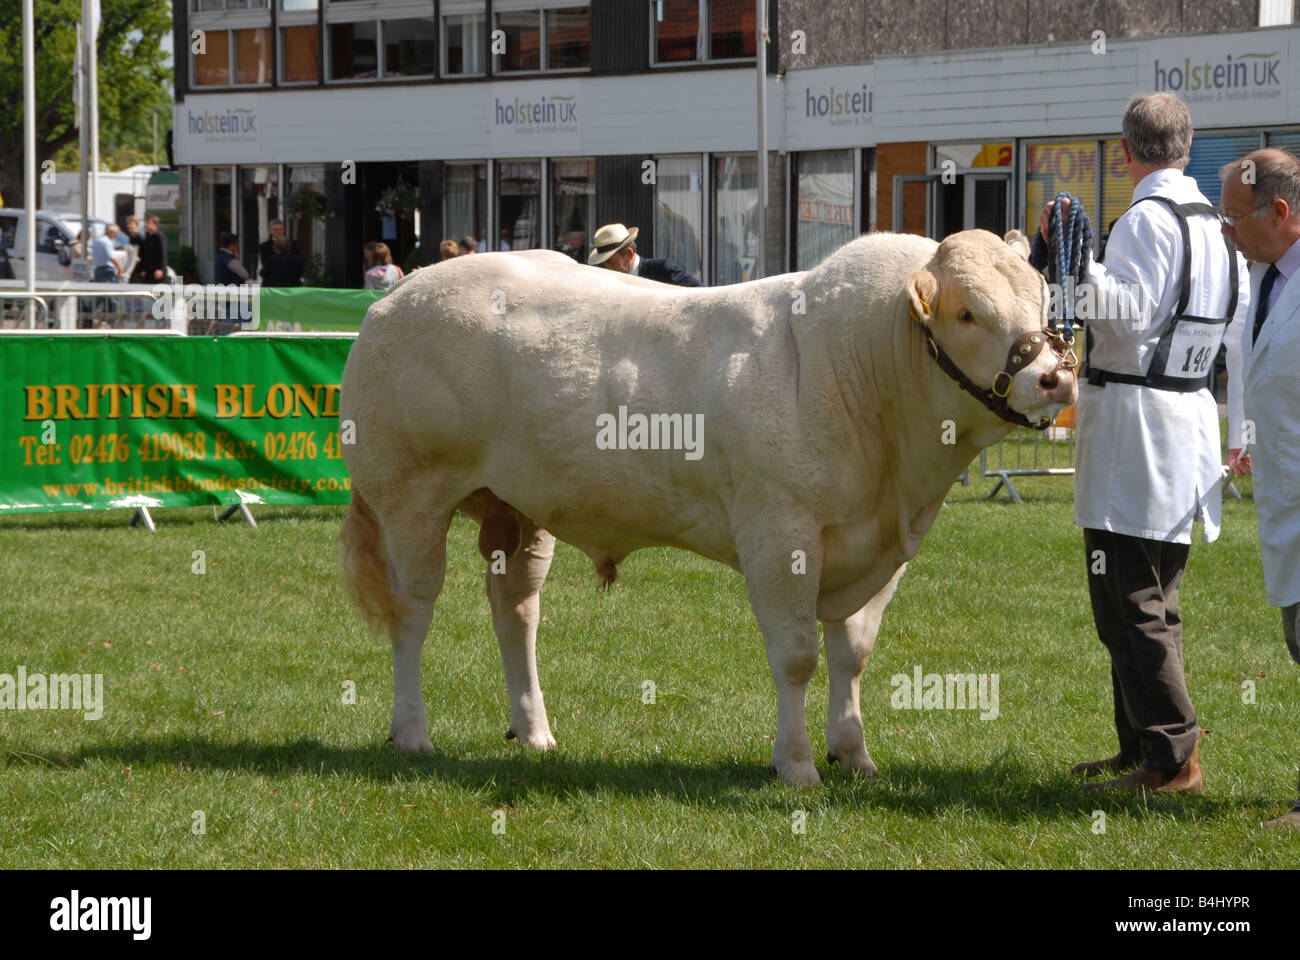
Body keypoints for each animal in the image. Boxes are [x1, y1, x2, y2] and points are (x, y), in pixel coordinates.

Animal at [338, 229, 1077, 786]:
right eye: (967, 313)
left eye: (1041, 299)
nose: (1056, 377)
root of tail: (402, 292)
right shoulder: (779, 533)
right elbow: (798, 656)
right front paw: (797, 765)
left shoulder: (880, 549)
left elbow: (854, 655)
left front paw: (854, 753)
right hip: (409, 498)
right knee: (412, 614)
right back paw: (412, 733)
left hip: (520, 510)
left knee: (516, 612)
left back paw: (534, 731)